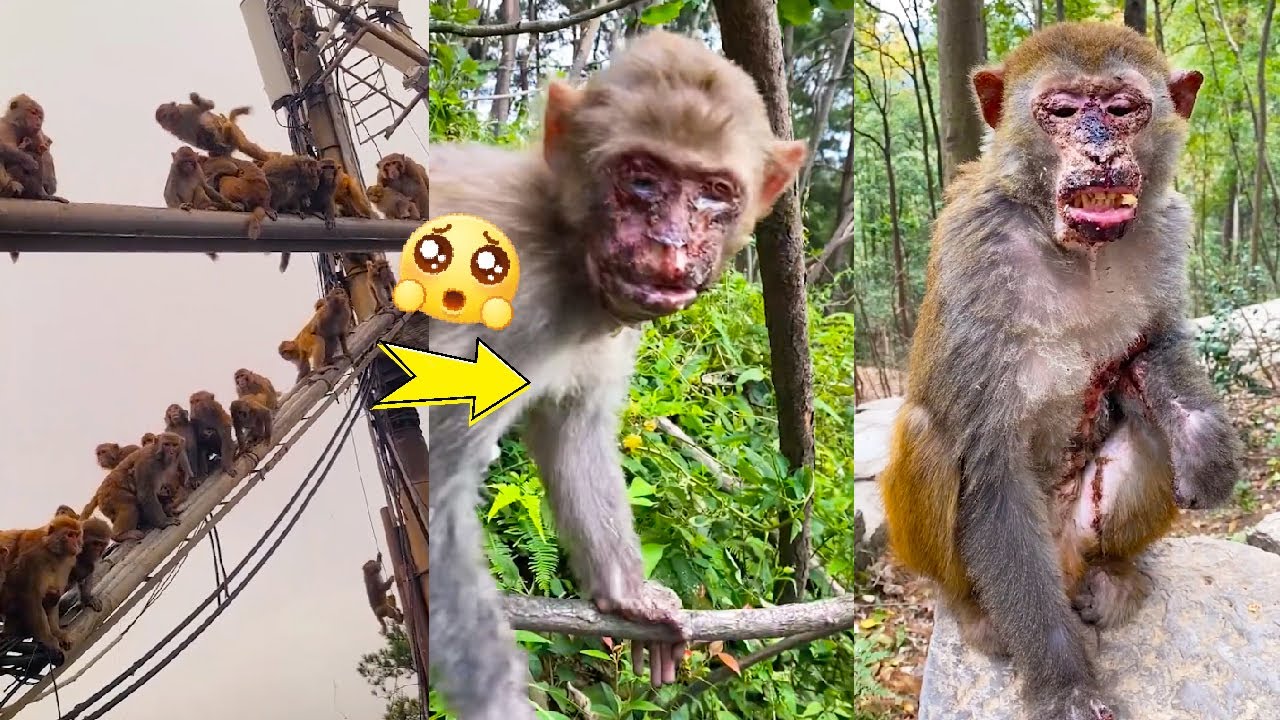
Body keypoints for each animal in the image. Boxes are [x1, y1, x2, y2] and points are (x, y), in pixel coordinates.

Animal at [0, 514, 83, 664]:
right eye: (69, 535)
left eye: (77, 535)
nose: (75, 544)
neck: (52, 552)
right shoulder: (32, 561)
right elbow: (30, 597)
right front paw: (48, 639)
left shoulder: (66, 564)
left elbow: (55, 594)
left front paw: (57, 633)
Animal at [422, 31, 807, 718]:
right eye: (642, 180)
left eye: (714, 191)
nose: (669, 246)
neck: (567, 252)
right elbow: (432, 486)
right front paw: (500, 702)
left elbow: (574, 433)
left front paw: (630, 593)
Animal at [876, 23, 1241, 720]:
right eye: (1065, 110)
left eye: (1122, 108)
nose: (1099, 151)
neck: (1076, 249)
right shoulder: (976, 248)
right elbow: (989, 465)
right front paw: (1067, 687)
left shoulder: (1166, 226)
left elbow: (1150, 348)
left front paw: (1202, 442)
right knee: (930, 429)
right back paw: (972, 609)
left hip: (1082, 532)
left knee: (1143, 425)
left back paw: (1115, 573)